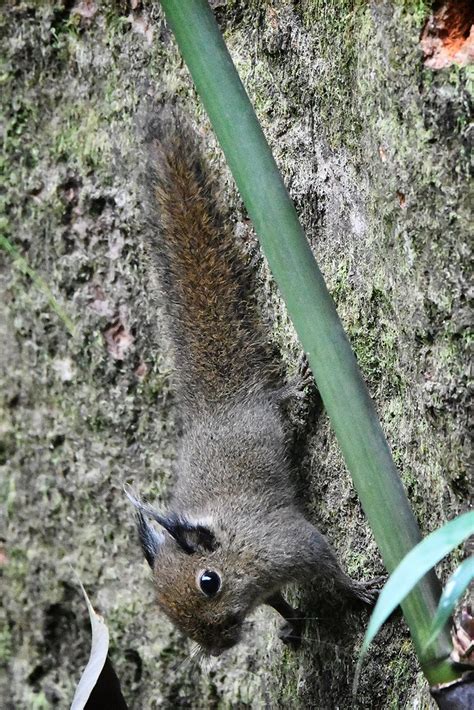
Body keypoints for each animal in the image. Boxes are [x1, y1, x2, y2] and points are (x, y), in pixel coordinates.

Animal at [127, 107, 380, 657]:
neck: (237, 550)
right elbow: (279, 603)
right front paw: (292, 622)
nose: (220, 647)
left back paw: (305, 386)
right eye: (164, 609)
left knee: (288, 410)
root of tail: (214, 408)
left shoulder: (288, 543)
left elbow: (327, 563)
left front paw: (357, 589)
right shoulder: (266, 584)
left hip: (267, 419)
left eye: (209, 582)